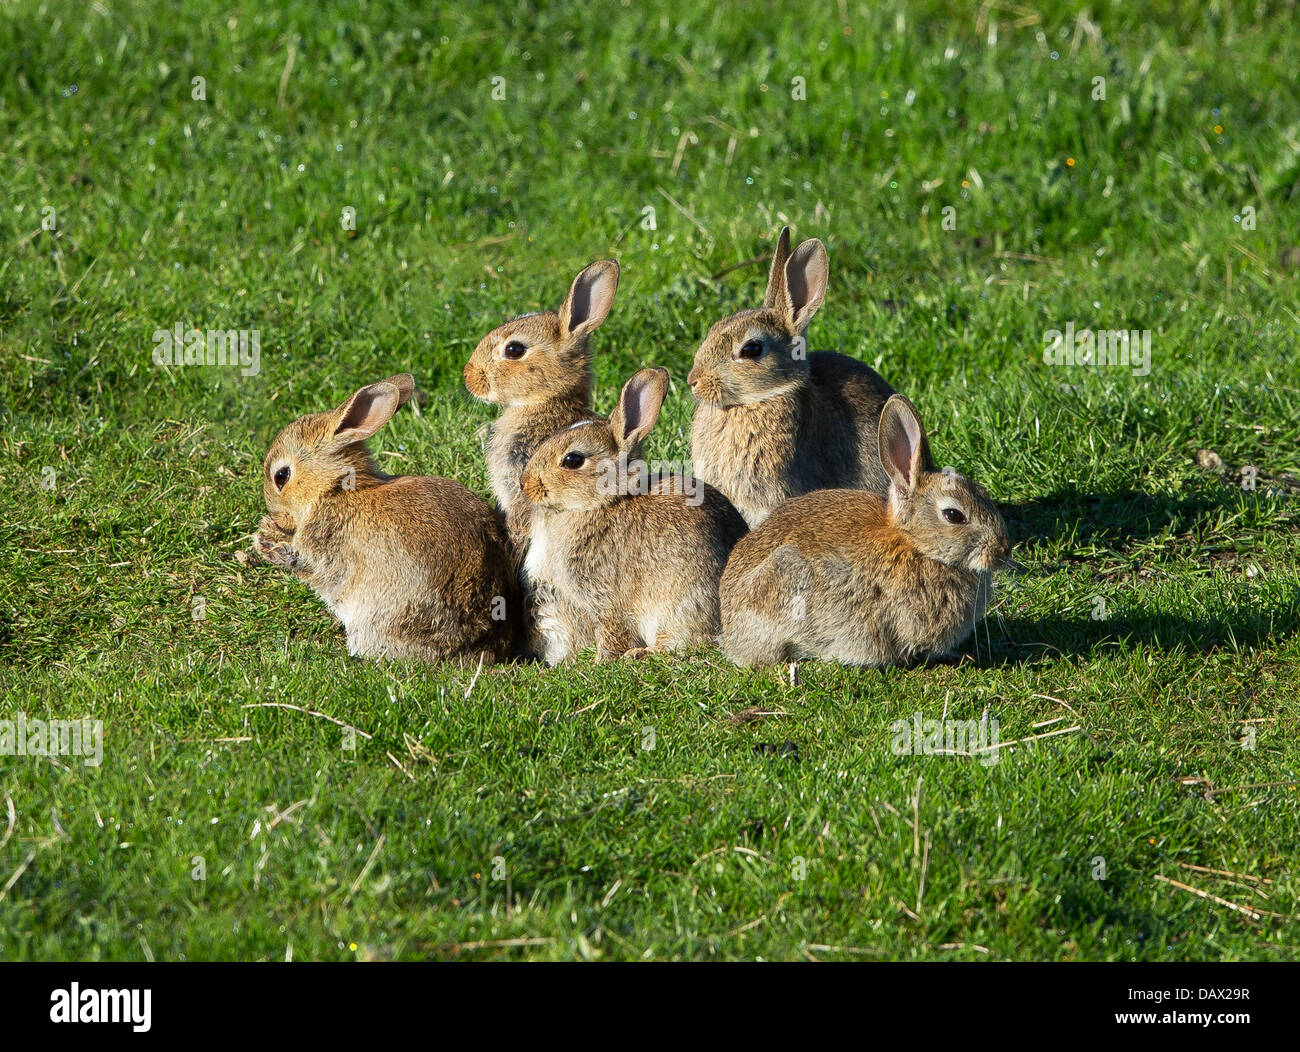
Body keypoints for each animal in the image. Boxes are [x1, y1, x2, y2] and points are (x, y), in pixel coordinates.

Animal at [518, 367, 748, 666]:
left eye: (572, 460)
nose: (525, 484)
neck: (603, 503)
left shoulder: (606, 599)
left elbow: (612, 631)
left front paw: (601, 662)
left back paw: (641, 652)